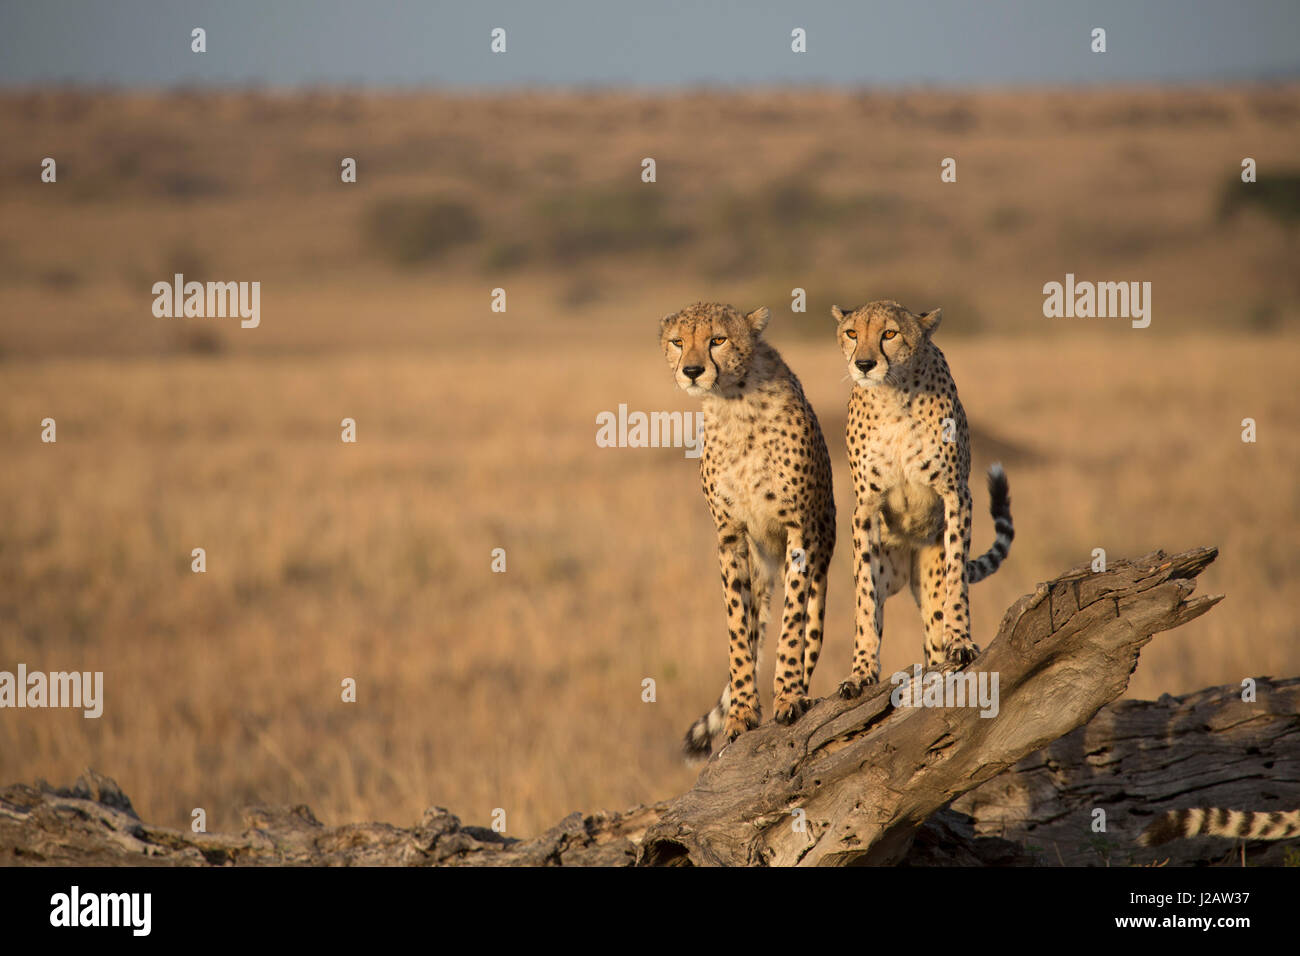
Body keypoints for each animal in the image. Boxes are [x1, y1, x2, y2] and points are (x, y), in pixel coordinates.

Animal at [660, 302, 836, 758]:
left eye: (718, 340)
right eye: (678, 341)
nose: (692, 370)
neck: (732, 404)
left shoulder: (799, 533)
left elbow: (791, 627)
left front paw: (788, 697)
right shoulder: (730, 537)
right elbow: (739, 631)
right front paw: (741, 712)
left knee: (810, 627)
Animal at [832, 300, 1014, 699]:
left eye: (889, 333)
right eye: (852, 333)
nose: (863, 364)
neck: (893, 396)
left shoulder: (956, 495)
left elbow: (956, 576)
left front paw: (960, 640)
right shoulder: (865, 507)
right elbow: (864, 597)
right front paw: (861, 671)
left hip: (930, 572)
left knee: (934, 626)